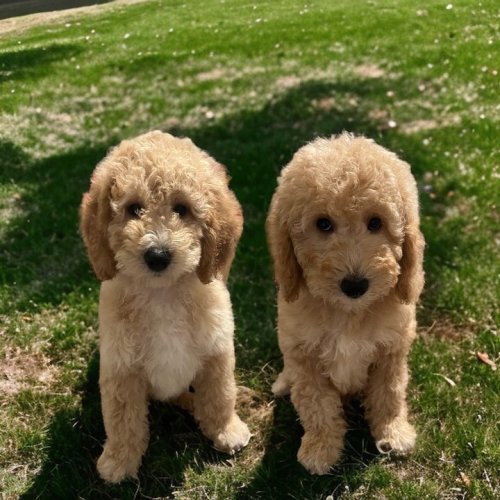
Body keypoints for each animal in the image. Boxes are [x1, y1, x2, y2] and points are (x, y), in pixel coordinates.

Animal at [80, 130, 250, 483]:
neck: (162, 295)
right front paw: (118, 461)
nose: (157, 255)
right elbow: (121, 418)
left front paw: (226, 431)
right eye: (133, 208)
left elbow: (220, 395)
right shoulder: (121, 368)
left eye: (182, 209)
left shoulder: (216, 352)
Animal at [266, 133, 425, 475]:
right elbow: (317, 407)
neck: (348, 314)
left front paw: (394, 433)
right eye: (323, 224)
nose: (355, 285)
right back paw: (283, 383)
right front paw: (320, 449)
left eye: (376, 222)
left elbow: (389, 395)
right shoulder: (305, 358)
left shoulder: (390, 353)